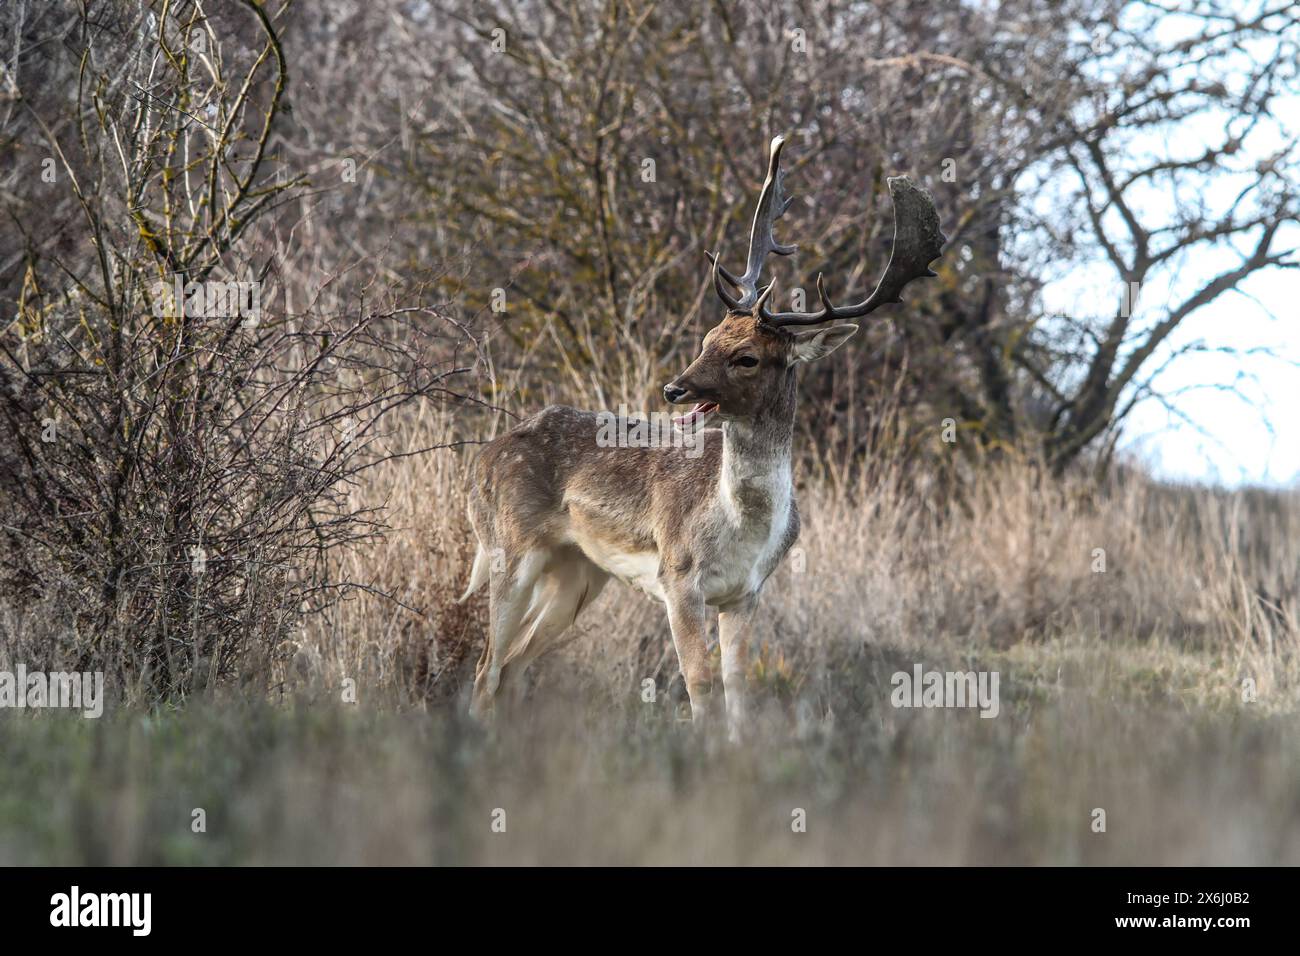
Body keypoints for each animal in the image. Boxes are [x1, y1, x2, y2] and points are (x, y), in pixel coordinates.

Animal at [459, 136, 945, 736]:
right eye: (709, 337)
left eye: (746, 356)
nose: (674, 388)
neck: (741, 527)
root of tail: (480, 460)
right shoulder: (677, 575)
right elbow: (700, 685)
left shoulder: (747, 593)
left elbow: (737, 689)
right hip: (507, 547)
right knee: (486, 665)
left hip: (579, 573)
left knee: (512, 664)